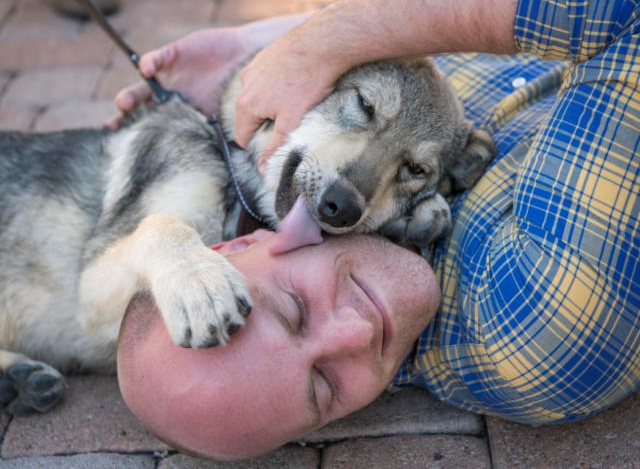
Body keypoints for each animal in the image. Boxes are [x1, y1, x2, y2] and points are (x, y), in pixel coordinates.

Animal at [0, 57, 496, 415]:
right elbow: (163, 225)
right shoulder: (92, 285)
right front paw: (199, 283)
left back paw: (17, 383)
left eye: (415, 169)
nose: (342, 207)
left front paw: (420, 215)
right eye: (365, 106)